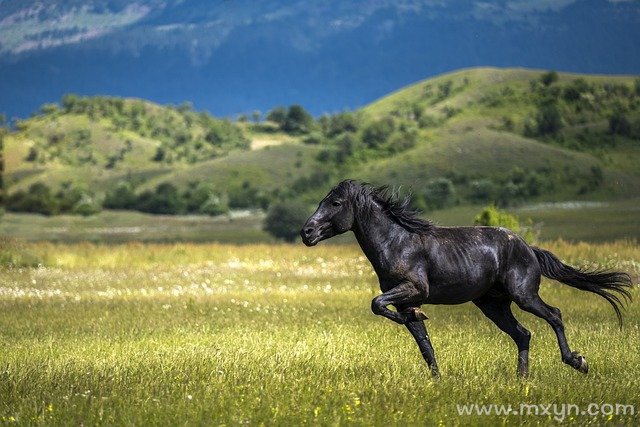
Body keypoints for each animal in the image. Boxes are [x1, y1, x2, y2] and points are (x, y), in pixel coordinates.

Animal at [300, 181, 632, 378]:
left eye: (335, 203)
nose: (306, 233)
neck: (398, 242)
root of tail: (528, 248)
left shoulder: (414, 289)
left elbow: (376, 303)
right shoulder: (406, 299)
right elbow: (422, 340)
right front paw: (436, 378)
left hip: (524, 295)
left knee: (554, 315)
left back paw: (577, 362)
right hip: (493, 305)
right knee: (523, 334)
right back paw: (521, 380)